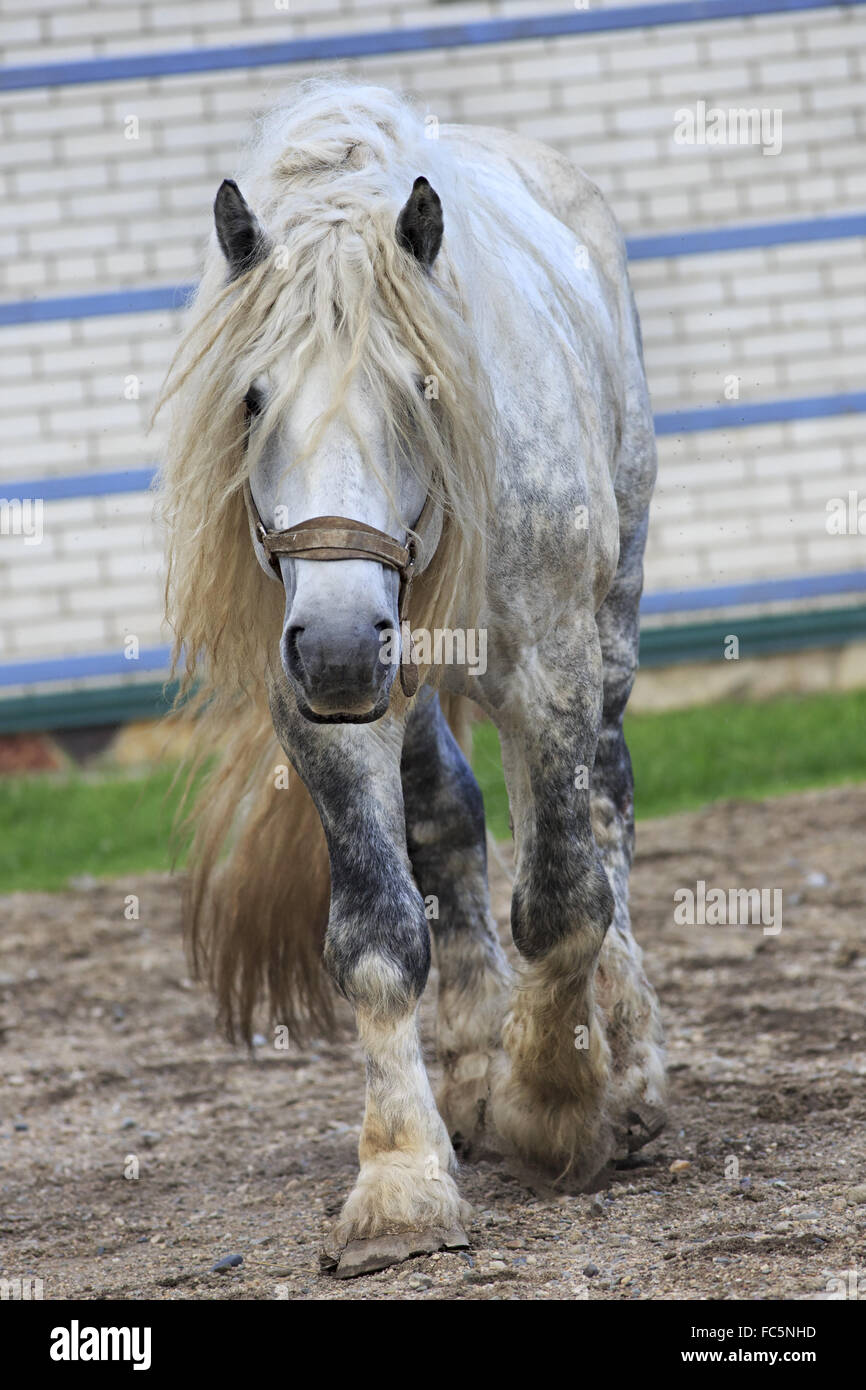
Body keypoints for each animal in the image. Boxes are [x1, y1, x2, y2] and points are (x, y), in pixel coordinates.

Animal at [157, 79, 665, 1277]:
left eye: (420, 390)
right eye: (252, 399)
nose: (342, 643)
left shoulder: (549, 672)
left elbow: (562, 896)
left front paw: (557, 1101)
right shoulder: (326, 716)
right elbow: (380, 935)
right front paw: (402, 1182)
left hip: (611, 618)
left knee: (609, 810)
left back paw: (621, 1054)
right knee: (449, 818)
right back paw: (477, 1065)